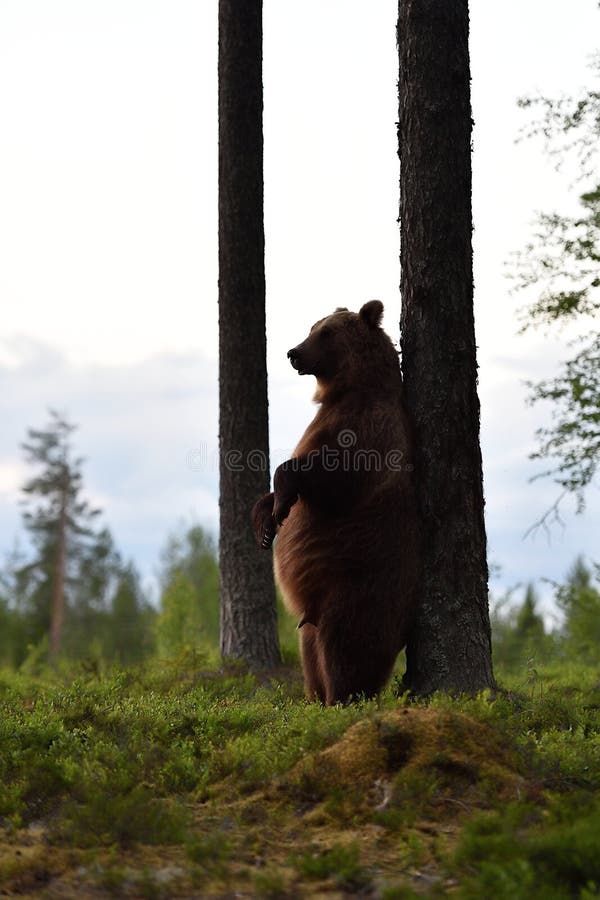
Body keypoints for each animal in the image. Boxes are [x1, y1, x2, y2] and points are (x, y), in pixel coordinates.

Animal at [252, 300, 420, 705]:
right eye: (312, 327)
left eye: (326, 333)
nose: (293, 352)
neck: (344, 392)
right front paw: (265, 523)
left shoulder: (370, 430)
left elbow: (335, 473)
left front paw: (282, 503)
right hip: (309, 619)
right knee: (311, 653)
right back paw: (314, 698)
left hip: (355, 589)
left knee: (345, 647)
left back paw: (342, 698)